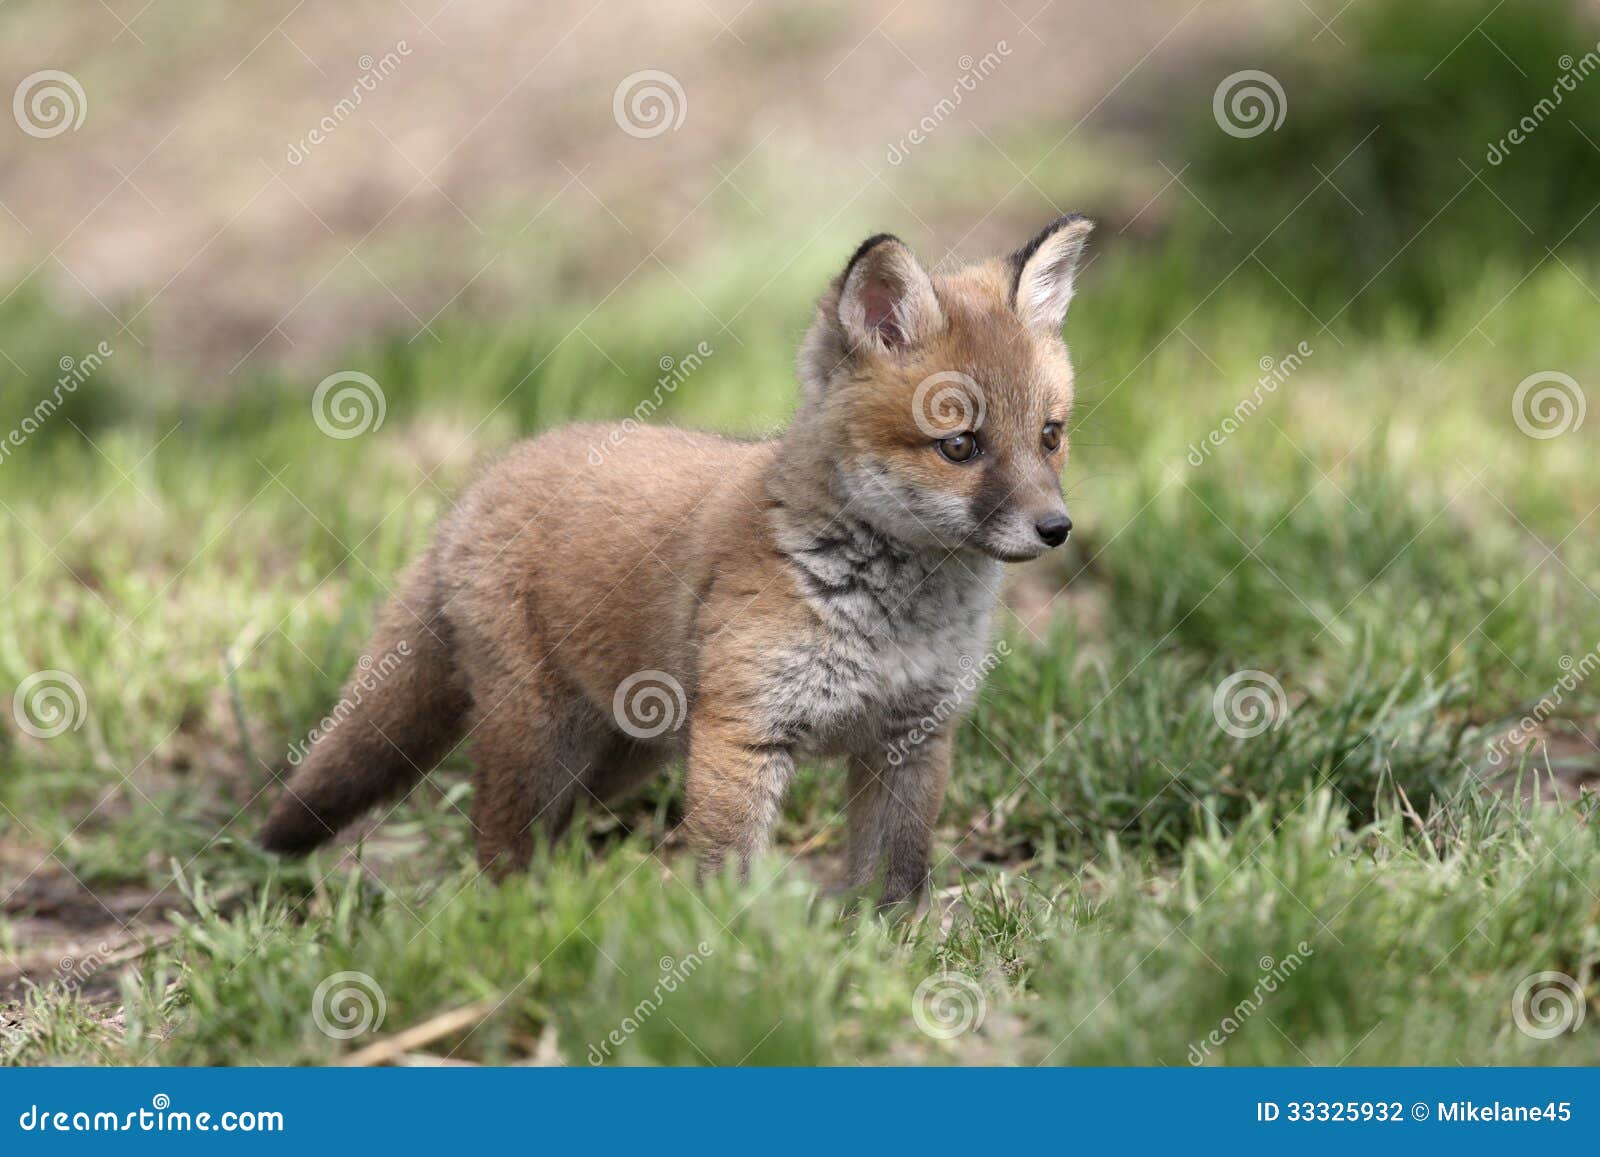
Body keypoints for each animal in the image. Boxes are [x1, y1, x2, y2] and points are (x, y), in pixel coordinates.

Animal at [257, 214, 1094, 906]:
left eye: (1050, 436)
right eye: (960, 446)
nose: (1057, 528)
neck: (894, 618)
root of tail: (482, 484)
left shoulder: (912, 738)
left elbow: (897, 875)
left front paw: (888, 955)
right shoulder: (743, 734)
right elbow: (728, 872)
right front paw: (734, 951)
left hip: (628, 751)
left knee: (557, 833)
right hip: (540, 737)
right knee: (499, 844)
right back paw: (518, 926)